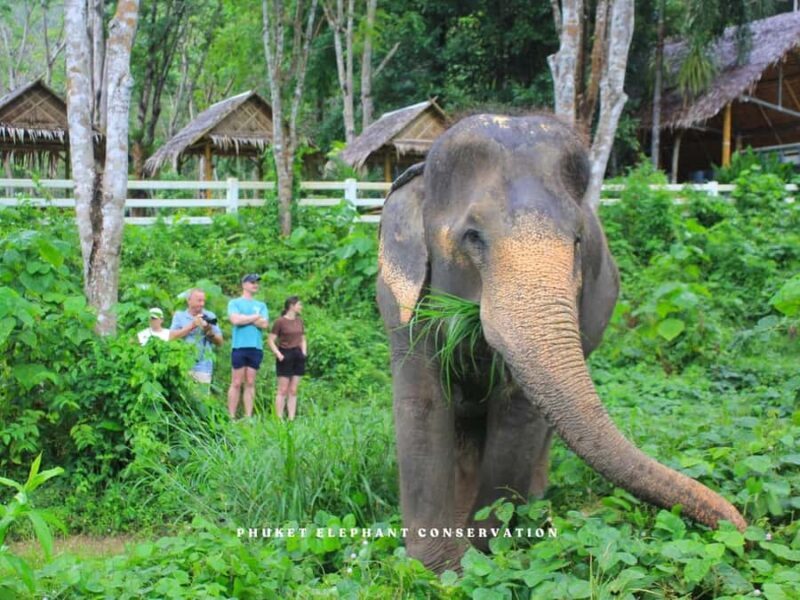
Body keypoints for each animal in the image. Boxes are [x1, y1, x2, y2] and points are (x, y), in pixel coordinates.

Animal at [376, 113, 746, 573]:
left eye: (576, 241)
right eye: (473, 237)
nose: (741, 527)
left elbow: (519, 413)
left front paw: (480, 556)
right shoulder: (399, 305)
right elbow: (422, 405)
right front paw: (438, 571)